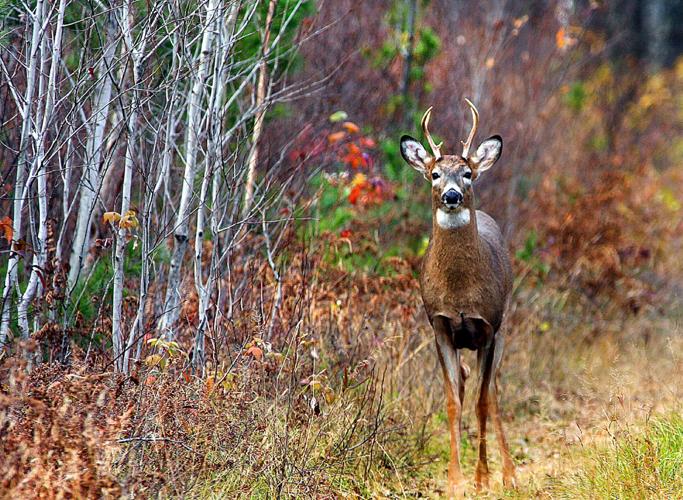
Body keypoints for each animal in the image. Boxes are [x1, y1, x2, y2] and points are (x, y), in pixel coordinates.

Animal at [399, 99, 516, 495]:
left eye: (467, 173)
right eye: (435, 174)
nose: (452, 195)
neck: (460, 293)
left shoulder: (488, 327)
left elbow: (483, 402)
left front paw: (482, 478)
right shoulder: (440, 326)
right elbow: (452, 401)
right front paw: (454, 481)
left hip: (504, 329)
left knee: (492, 392)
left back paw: (508, 473)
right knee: (467, 383)